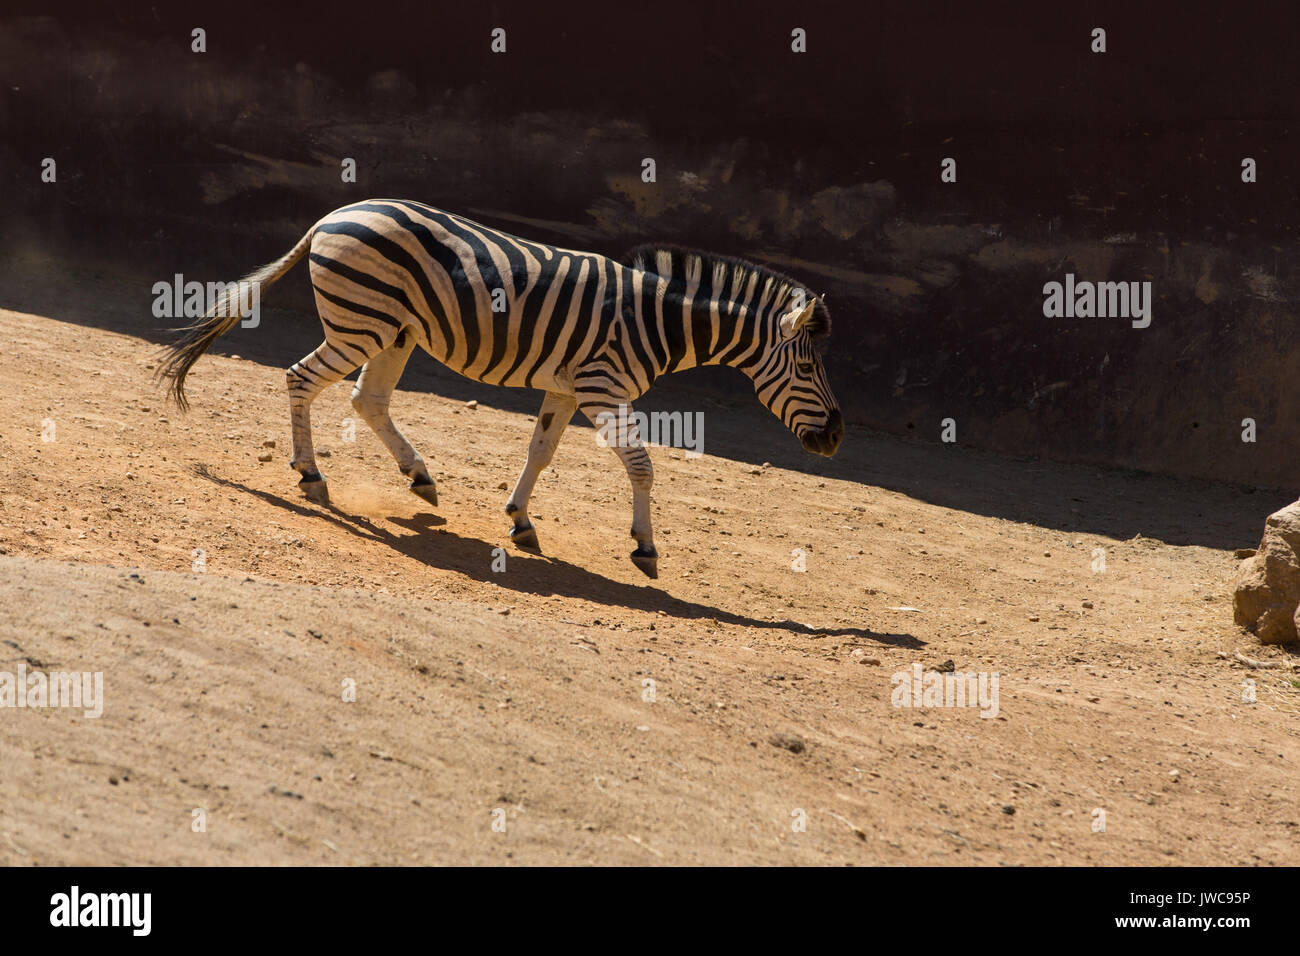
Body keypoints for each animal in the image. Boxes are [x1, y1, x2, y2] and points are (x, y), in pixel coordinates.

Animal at [160, 199, 843, 578]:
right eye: (809, 370)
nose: (837, 439)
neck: (656, 320)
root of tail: (334, 214)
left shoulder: (568, 390)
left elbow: (540, 451)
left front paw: (520, 522)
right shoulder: (602, 387)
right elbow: (643, 466)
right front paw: (646, 548)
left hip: (394, 330)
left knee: (368, 399)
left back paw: (420, 478)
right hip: (363, 323)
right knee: (301, 379)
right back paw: (310, 476)